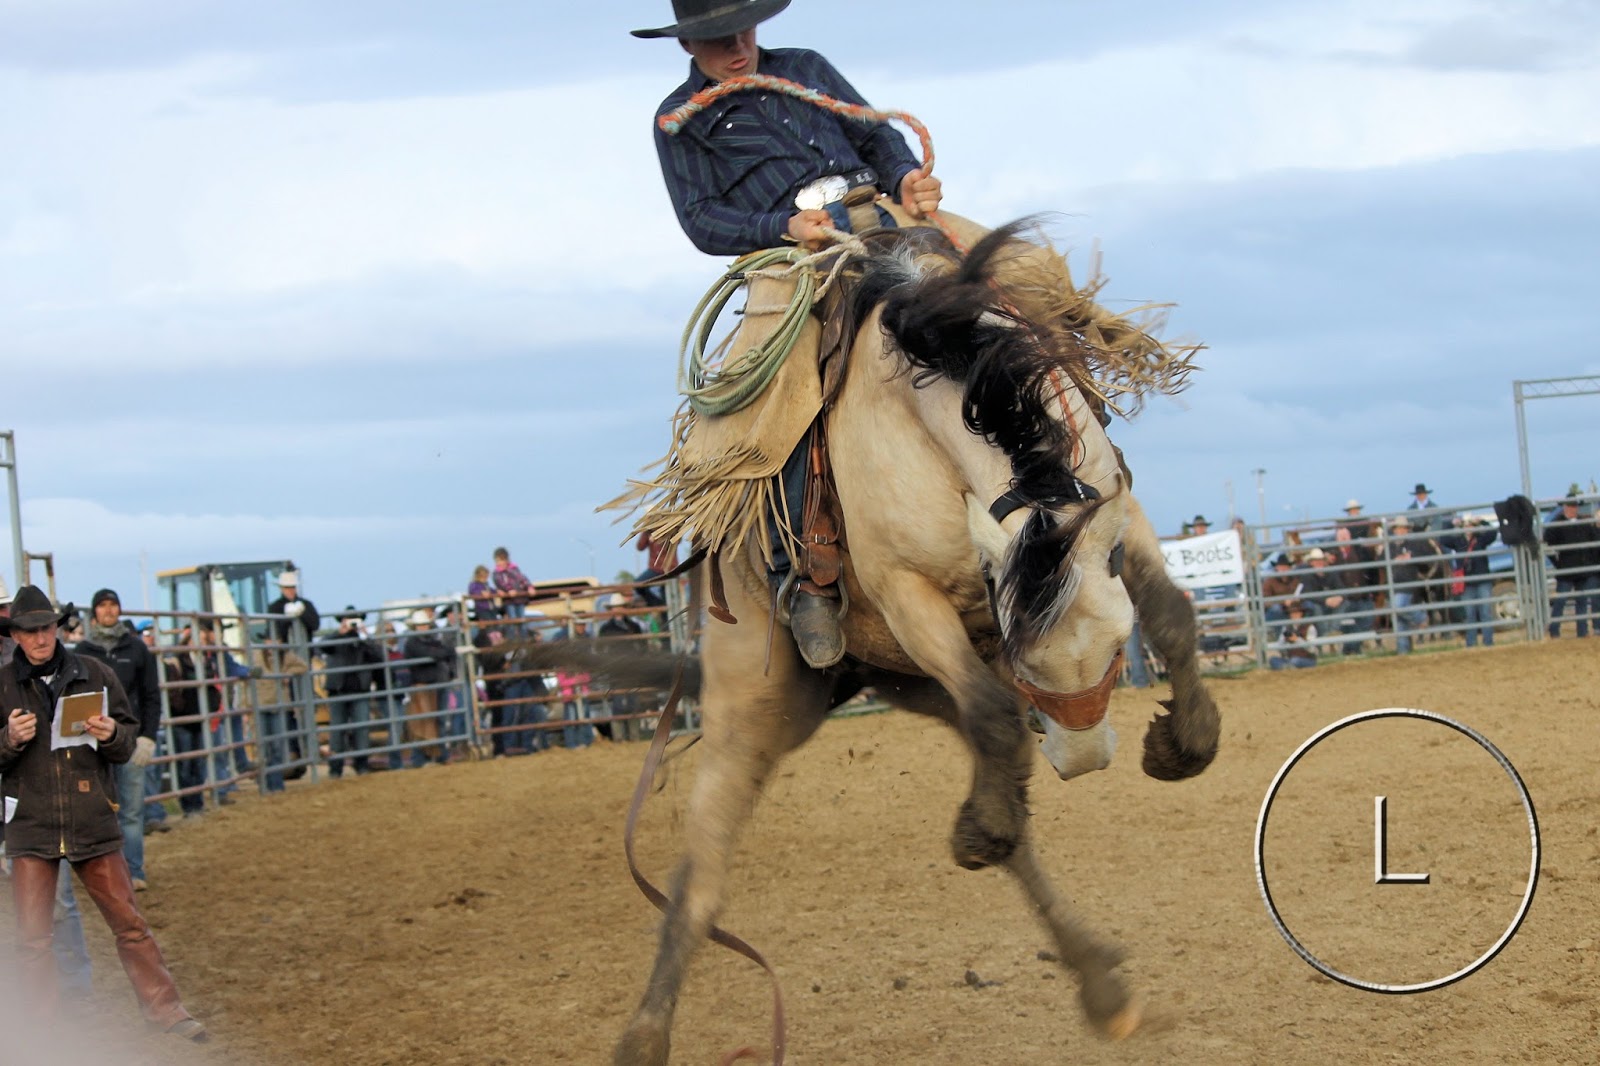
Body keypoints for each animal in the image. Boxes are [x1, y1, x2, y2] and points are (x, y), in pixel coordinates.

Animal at [561, 221, 1221, 1064]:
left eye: (1113, 649)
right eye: (1027, 657)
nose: (1082, 759)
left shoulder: (1113, 513)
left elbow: (1172, 615)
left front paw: (1183, 745)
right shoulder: (907, 590)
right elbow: (1000, 715)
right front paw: (983, 829)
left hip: (911, 686)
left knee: (1002, 778)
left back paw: (1097, 980)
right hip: (752, 702)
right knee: (697, 883)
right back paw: (646, 1035)